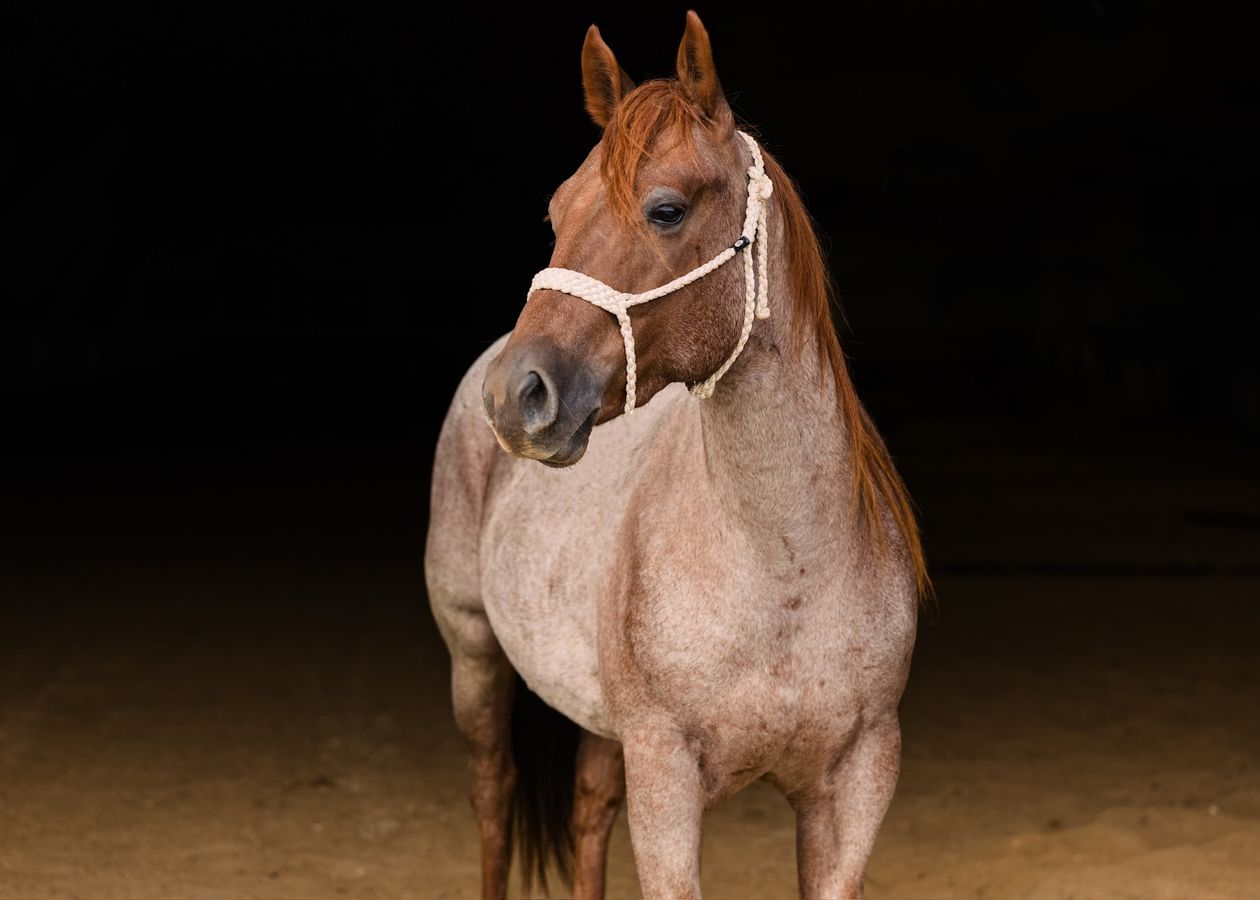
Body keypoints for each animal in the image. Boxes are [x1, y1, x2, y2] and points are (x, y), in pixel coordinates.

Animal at [425, 12, 928, 899]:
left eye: (665, 209)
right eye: (556, 211)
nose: (516, 396)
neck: (784, 571)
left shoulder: (857, 784)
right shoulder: (665, 779)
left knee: (589, 807)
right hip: (475, 657)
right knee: (494, 798)